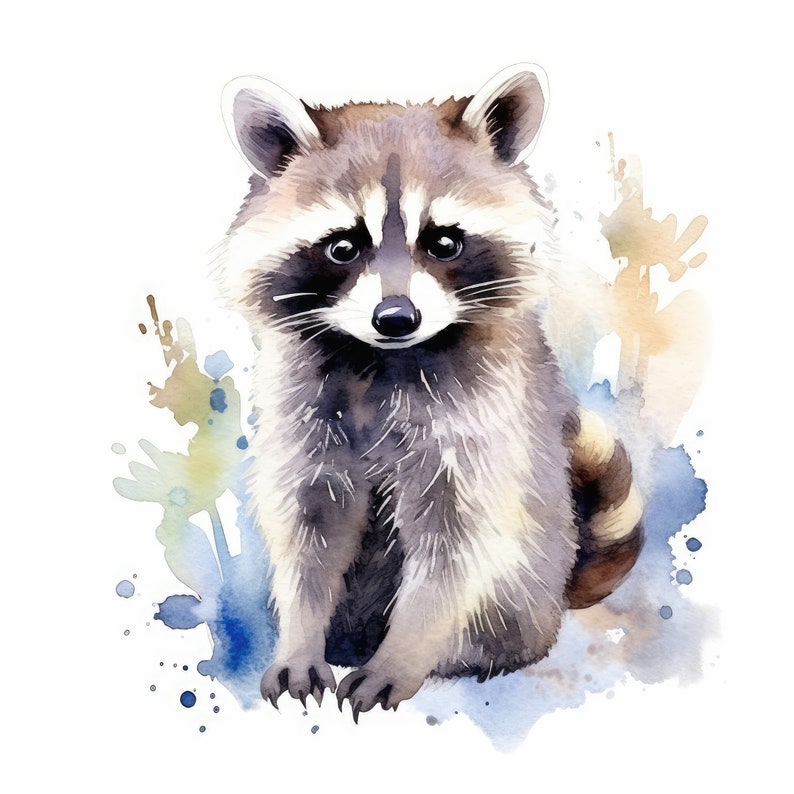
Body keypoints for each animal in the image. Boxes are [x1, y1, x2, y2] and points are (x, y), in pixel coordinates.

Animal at [215, 64, 644, 720]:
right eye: (343, 246)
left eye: (444, 242)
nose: (396, 318)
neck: (382, 359)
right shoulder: (301, 412)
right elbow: (309, 532)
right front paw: (300, 638)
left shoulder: (479, 418)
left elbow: (454, 544)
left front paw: (402, 656)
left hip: (527, 575)